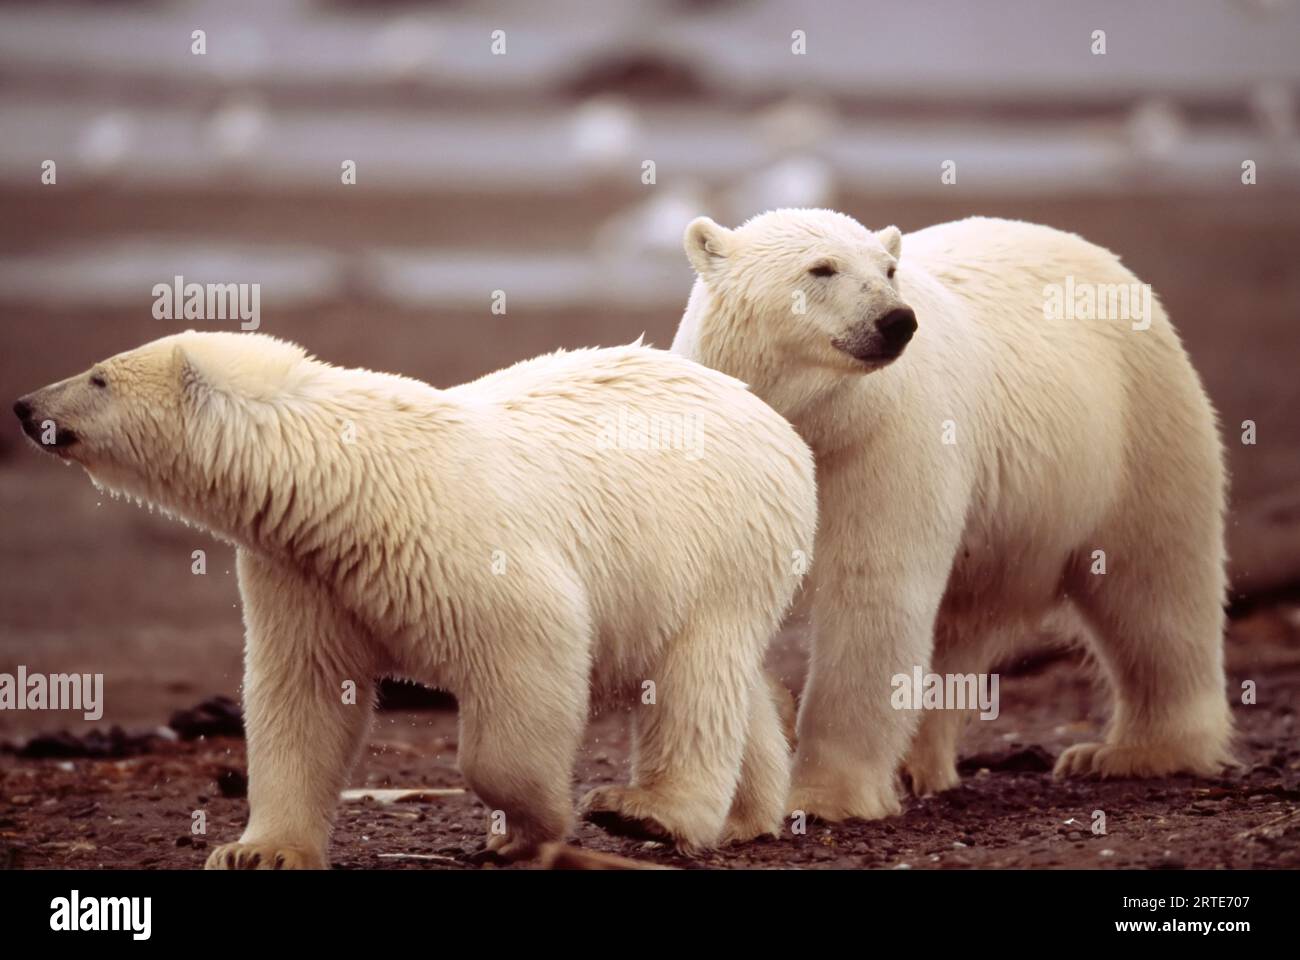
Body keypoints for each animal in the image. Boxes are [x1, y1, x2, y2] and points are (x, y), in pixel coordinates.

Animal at [13, 331, 817, 865]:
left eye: (98, 378)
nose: (24, 405)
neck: (345, 479)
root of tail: (766, 413)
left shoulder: (465, 543)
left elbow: (529, 653)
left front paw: (530, 826)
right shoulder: (304, 570)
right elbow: (301, 691)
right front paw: (258, 849)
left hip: (716, 540)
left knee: (694, 671)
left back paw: (649, 814)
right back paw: (747, 813)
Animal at [672, 208, 1232, 823]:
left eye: (888, 270)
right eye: (821, 268)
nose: (896, 320)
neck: (820, 421)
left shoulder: (882, 444)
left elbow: (873, 596)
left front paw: (823, 796)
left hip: (1135, 426)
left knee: (1155, 586)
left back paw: (1131, 751)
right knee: (961, 626)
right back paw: (918, 767)